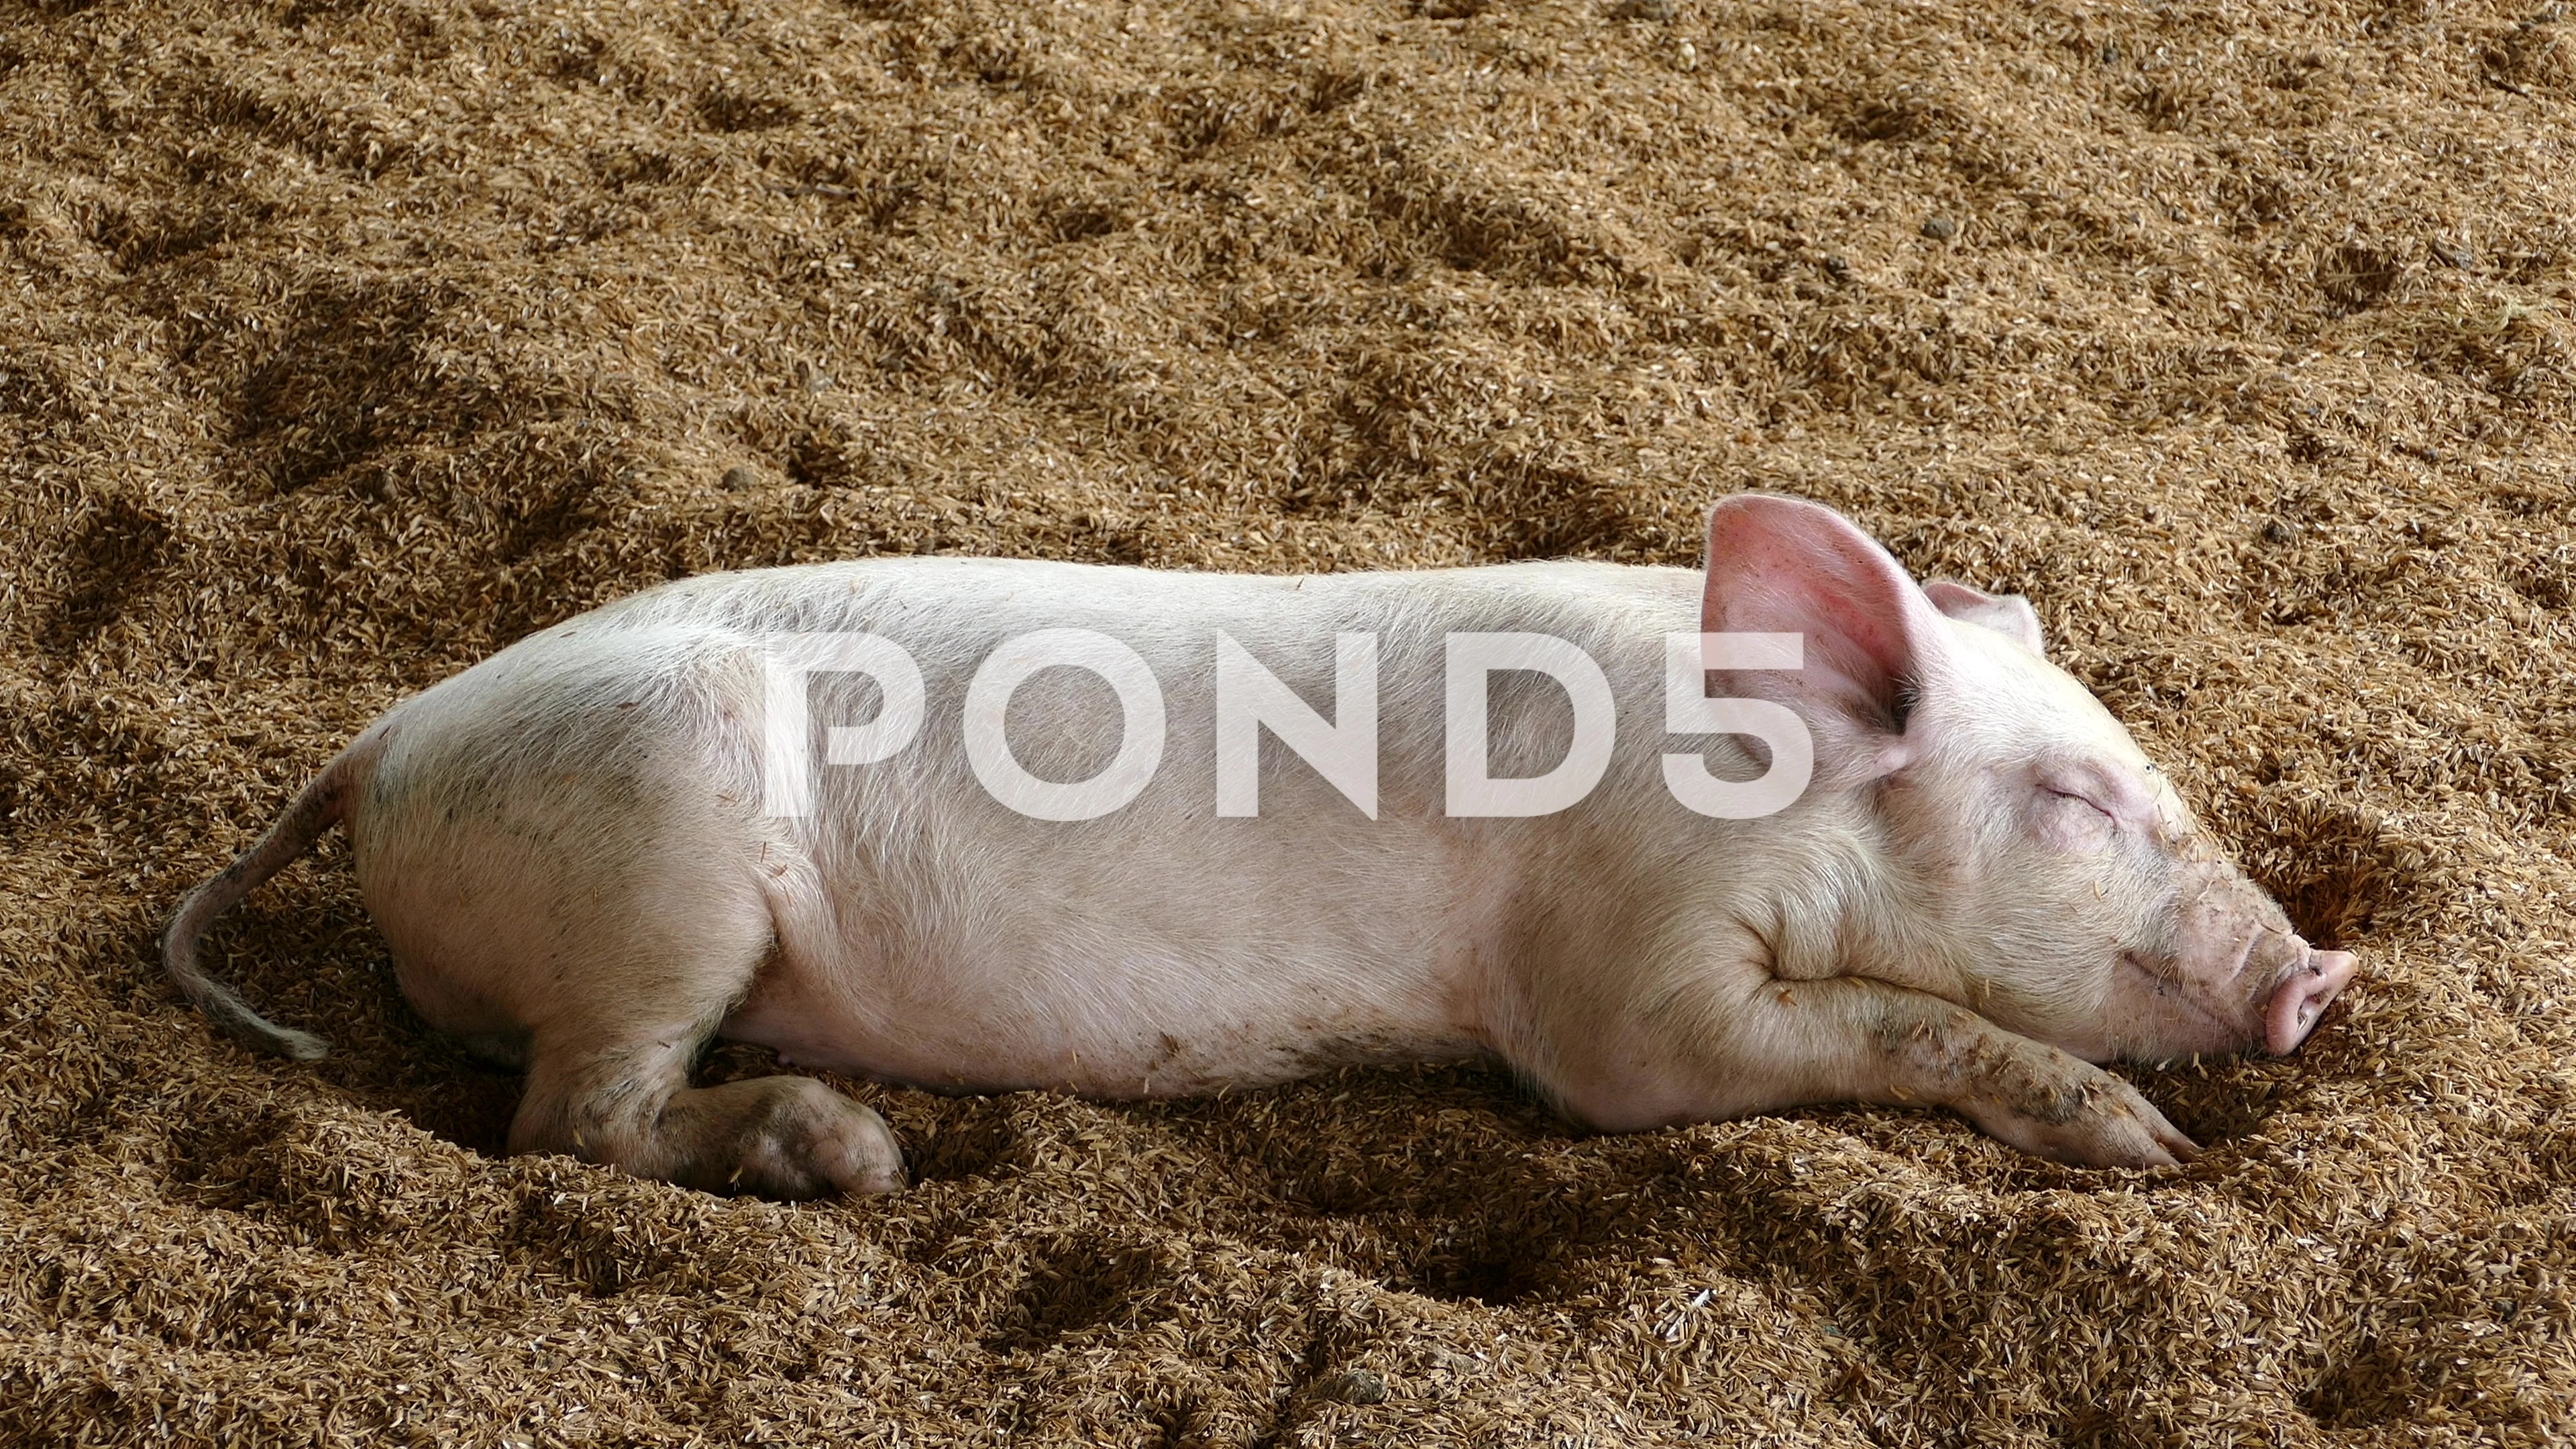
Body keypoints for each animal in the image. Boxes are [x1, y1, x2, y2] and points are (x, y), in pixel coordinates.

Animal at [162, 495, 2356, 1198]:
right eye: (2068, 801)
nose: (2316, 973)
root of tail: (380, 744)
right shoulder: (1621, 960)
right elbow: (1757, 1049)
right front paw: (2141, 1146)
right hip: (655, 849)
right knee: (567, 1122)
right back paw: (854, 1155)